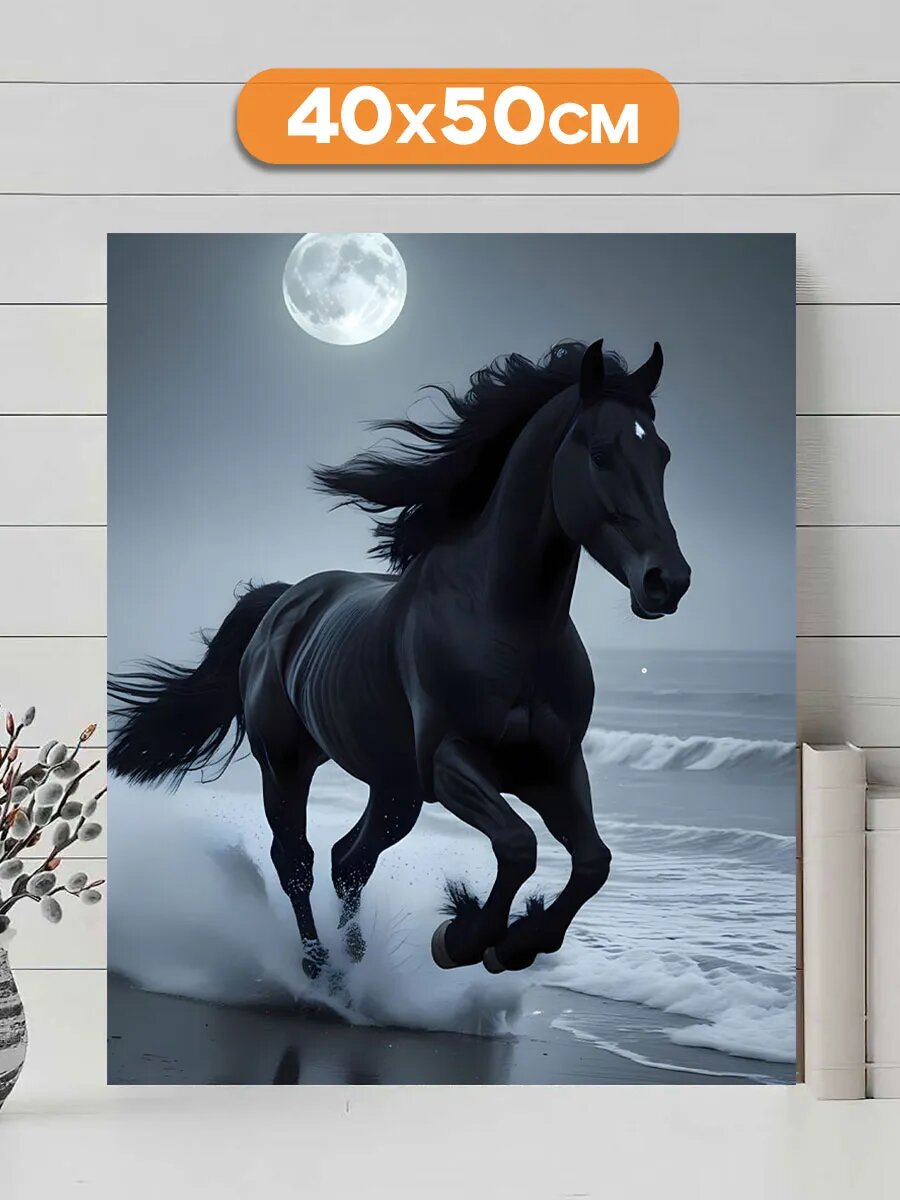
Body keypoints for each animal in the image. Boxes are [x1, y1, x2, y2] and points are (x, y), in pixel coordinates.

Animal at [109, 338, 691, 982]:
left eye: (662, 454)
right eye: (601, 451)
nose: (668, 581)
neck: (511, 626)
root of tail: (282, 603)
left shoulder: (554, 765)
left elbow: (593, 861)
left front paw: (514, 943)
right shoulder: (448, 762)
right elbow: (518, 846)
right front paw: (463, 938)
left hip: (393, 789)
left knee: (348, 861)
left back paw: (357, 965)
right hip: (287, 765)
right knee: (297, 860)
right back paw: (320, 969)